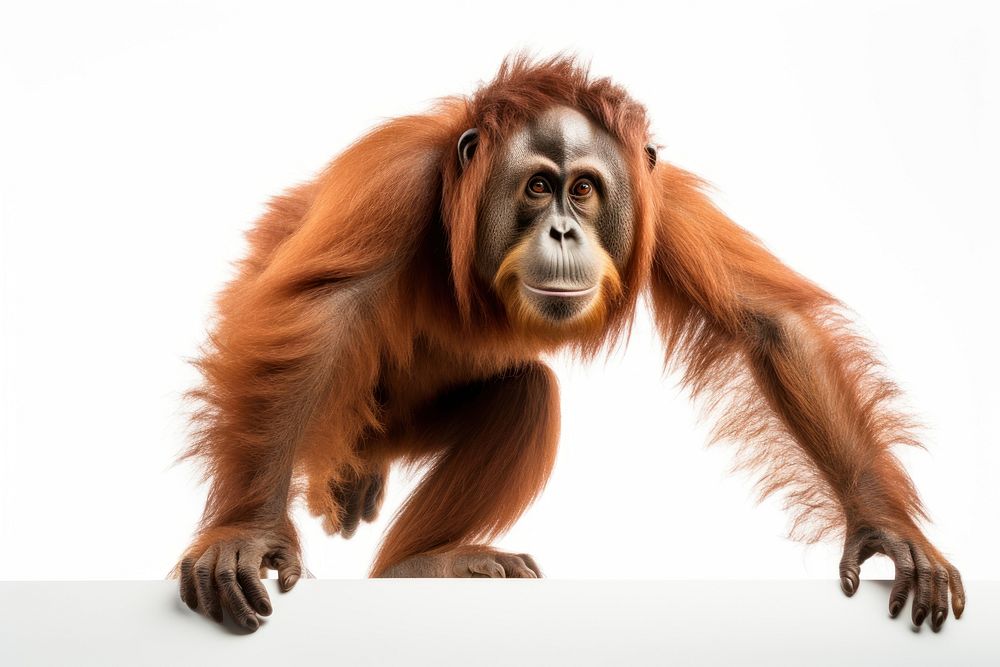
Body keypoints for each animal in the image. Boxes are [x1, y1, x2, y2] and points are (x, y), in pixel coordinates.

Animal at [172, 55, 964, 633]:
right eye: (537, 187)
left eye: (583, 190)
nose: (562, 230)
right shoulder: (396, 179)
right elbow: (322, 317)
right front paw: (245, 534)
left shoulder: (657, 198)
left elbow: (768, 322)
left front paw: (886, 530)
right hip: (341, 422)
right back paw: (418, 566)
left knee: (528, 392)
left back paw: (417, 562)